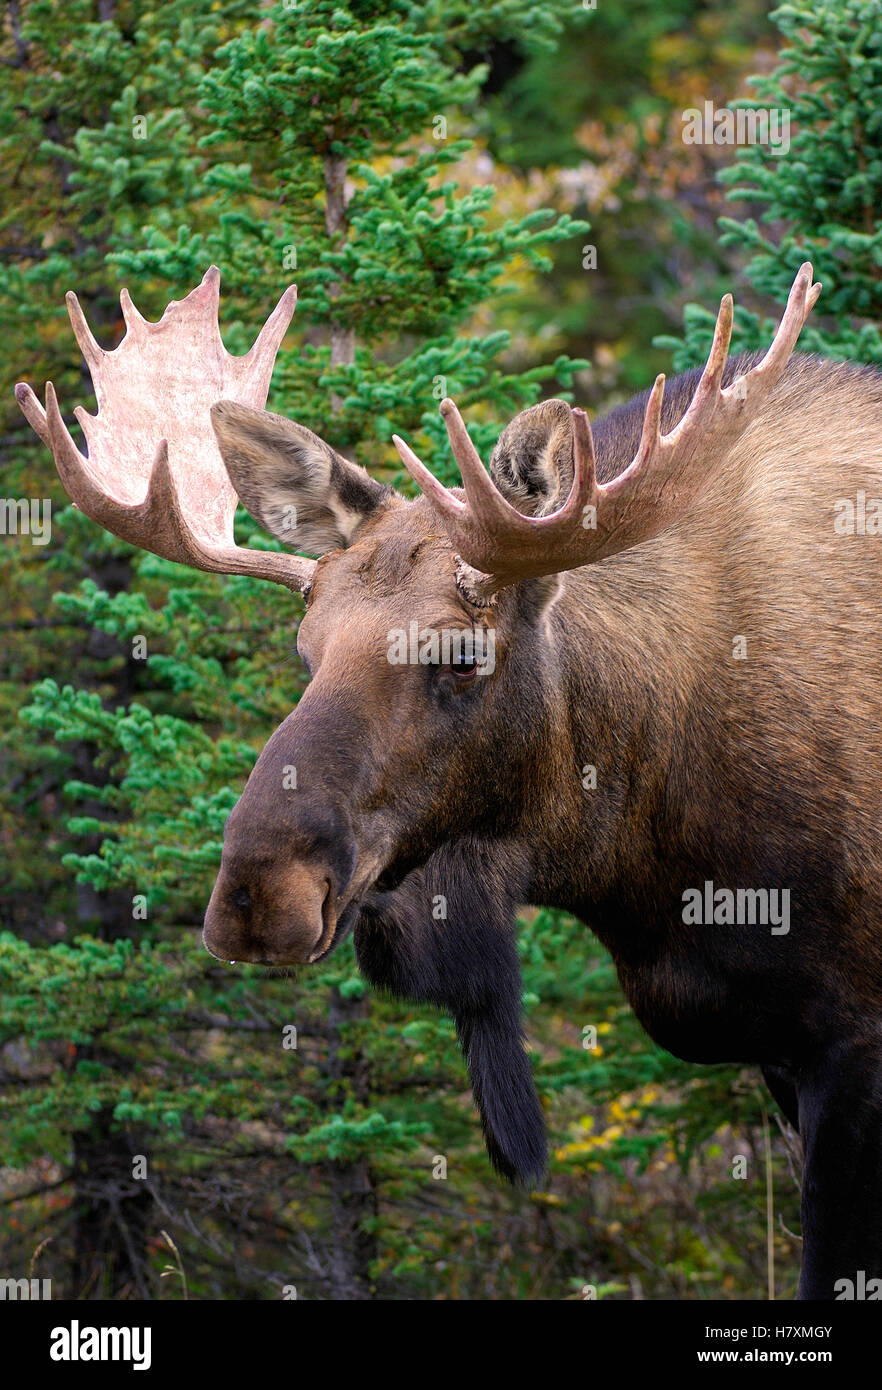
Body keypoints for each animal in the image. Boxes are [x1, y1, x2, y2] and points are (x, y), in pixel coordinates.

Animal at [16, 263, 882, 1300]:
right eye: (305, 649)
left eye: (463, 656)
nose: (257, 896)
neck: (648, 863)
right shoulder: (775, 1048)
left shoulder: (852, 1042)